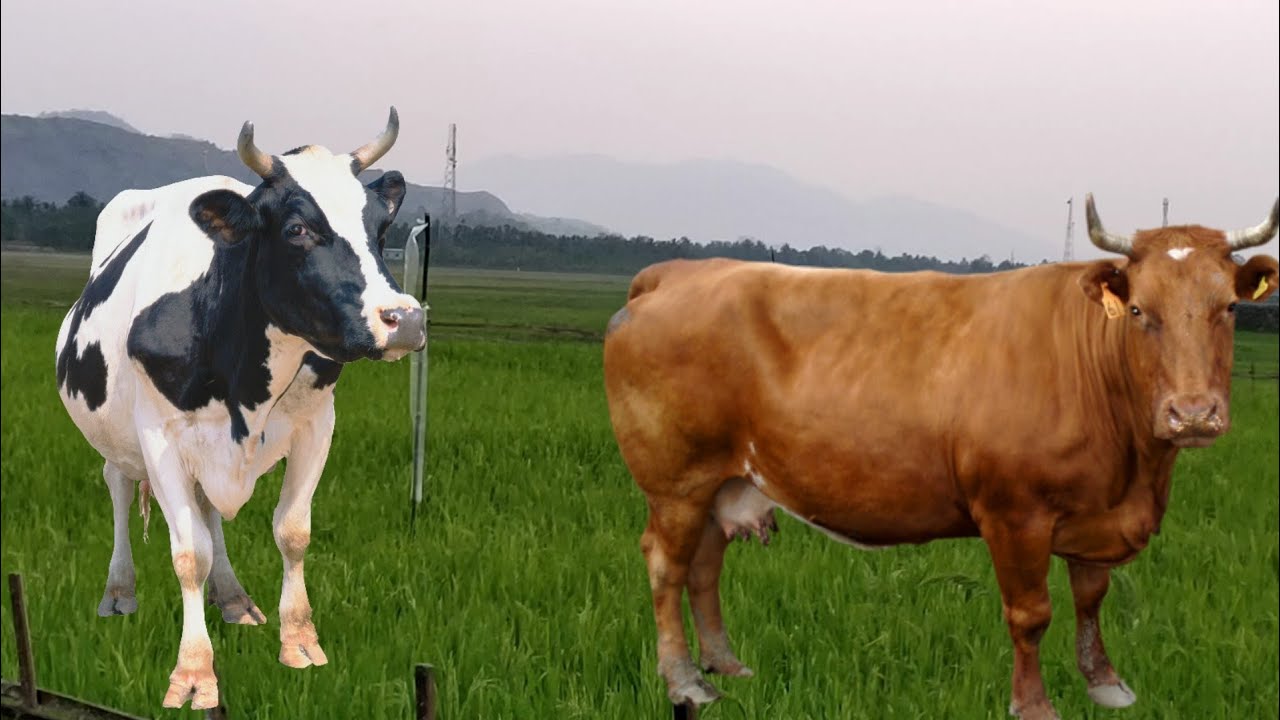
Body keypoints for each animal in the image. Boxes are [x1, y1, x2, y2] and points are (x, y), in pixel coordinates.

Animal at [54, 108, 424, 710]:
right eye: (297, 229)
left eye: (380, 227)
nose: (406, 320)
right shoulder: (160, 437)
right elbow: (189, 555)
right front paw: (193, 673)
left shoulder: (317, 423)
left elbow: (292, 532)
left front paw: (300, 642)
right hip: (116, 437)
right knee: (118, 489)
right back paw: (119, 592)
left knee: (208, 510)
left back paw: (231, 598)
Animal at [603, 196, 1279, 719]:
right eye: (1139, 310)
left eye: (1230, 307)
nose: (1193, 413)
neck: (1134, 472)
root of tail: (677, 272)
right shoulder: (1014, 513)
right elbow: (1031, 614)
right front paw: (1032, 704)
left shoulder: (1096, 516)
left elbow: (1090, 599)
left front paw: (1105, 684)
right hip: (675, 481)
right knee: (666, 565)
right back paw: (685, 682)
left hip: (722, 480)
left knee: (704, 564)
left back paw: (725, 663)